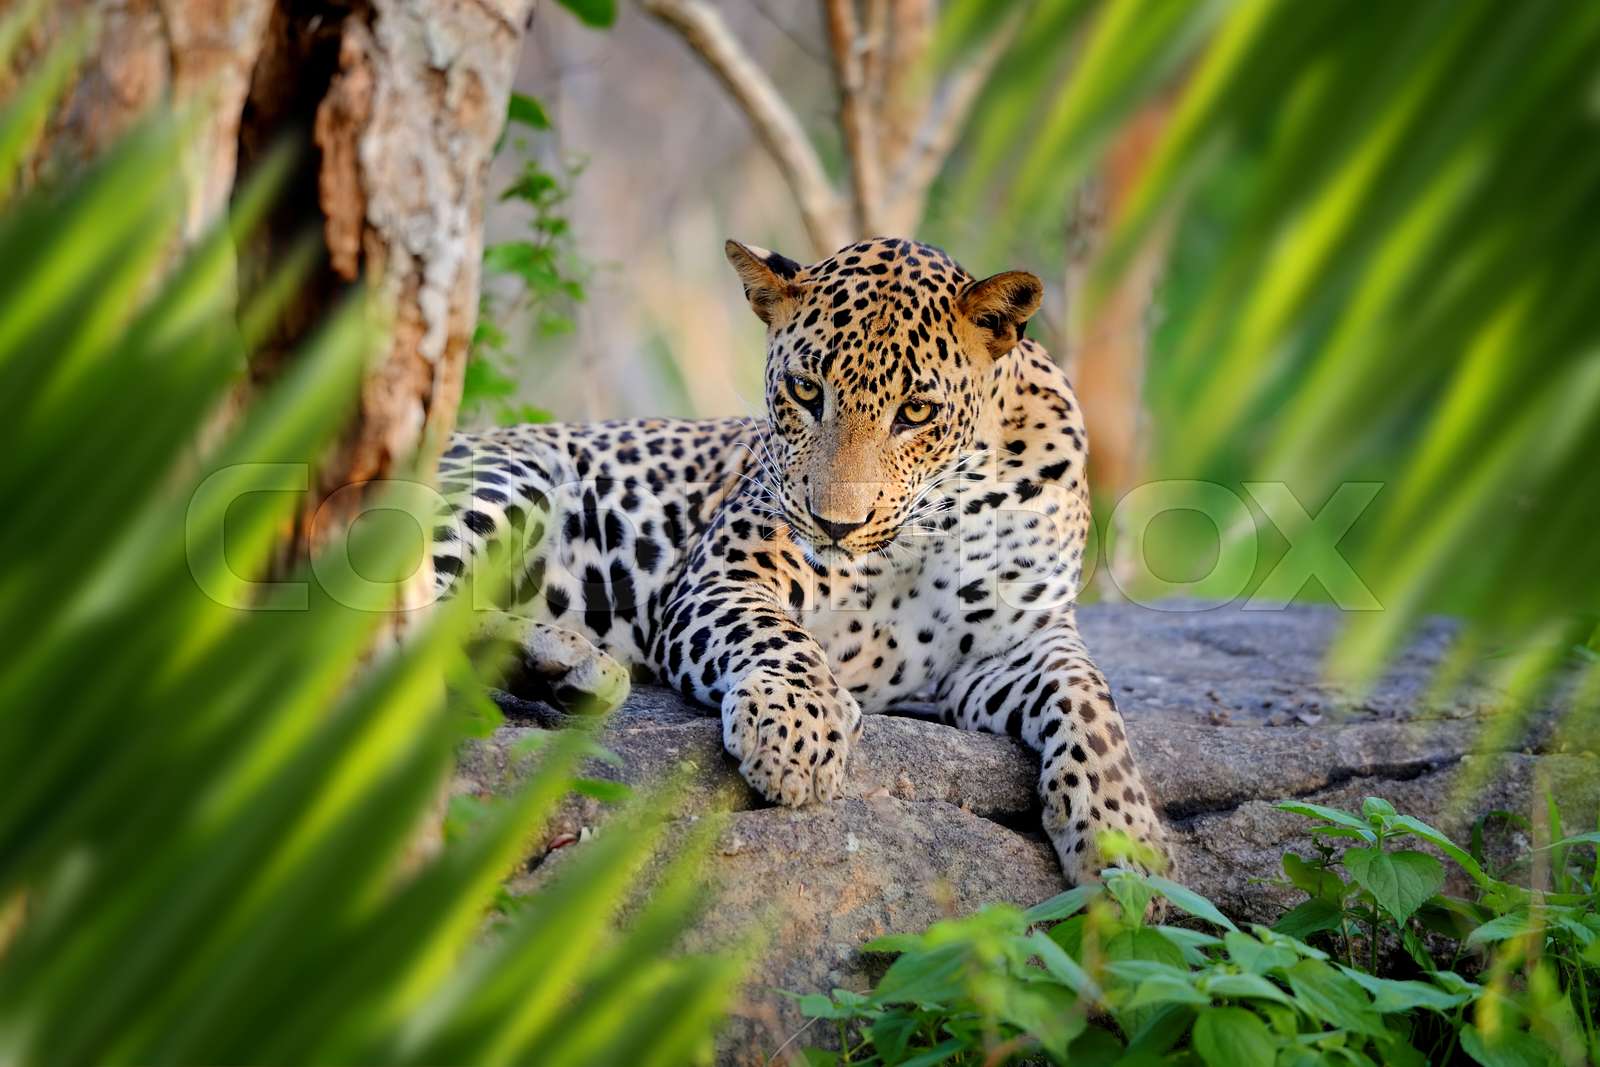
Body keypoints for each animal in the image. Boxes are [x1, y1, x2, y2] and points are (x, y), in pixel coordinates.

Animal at [431, 236, 1169, 885]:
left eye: (916, 411)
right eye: (806, 390)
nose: (836, 524)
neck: (929, 524)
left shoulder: (1017, 642)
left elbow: (1091, 699)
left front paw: (1126, 841)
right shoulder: (721, 577)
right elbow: (778, 635)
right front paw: (797, 730)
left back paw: (558, 669)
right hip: (517, 472)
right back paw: (562, 659)